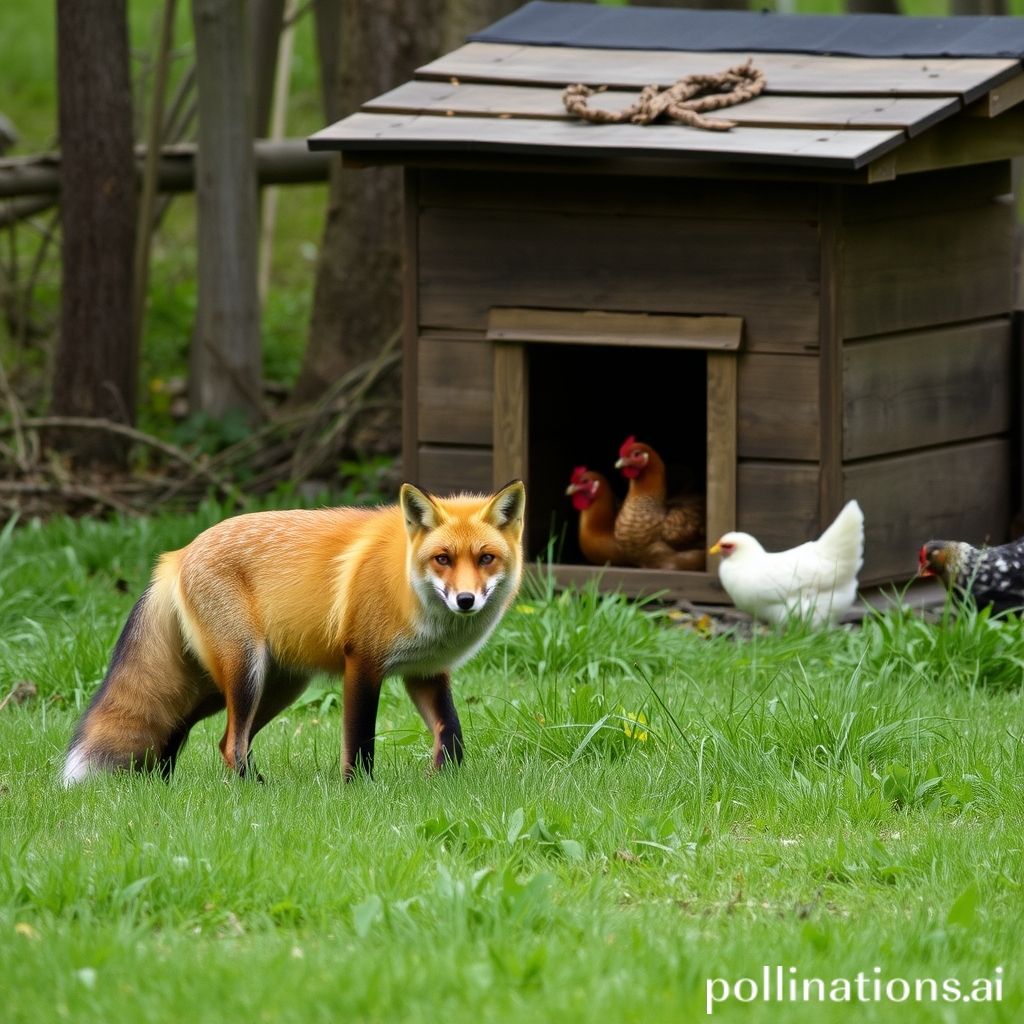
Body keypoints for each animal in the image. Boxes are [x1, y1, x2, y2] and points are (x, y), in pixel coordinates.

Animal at [62, 480, 526, 787]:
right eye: (442, 558)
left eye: (485, 558)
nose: (465, 600)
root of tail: (178, 553)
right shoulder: (363, 663)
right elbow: (360, 742)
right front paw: (360, 791)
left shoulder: (426, 672)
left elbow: (452, 736)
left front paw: (443, 783)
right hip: (246, 672)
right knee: (230, 743)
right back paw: (255, 791)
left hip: (266, 686)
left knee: (191, 726)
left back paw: (163, 782)